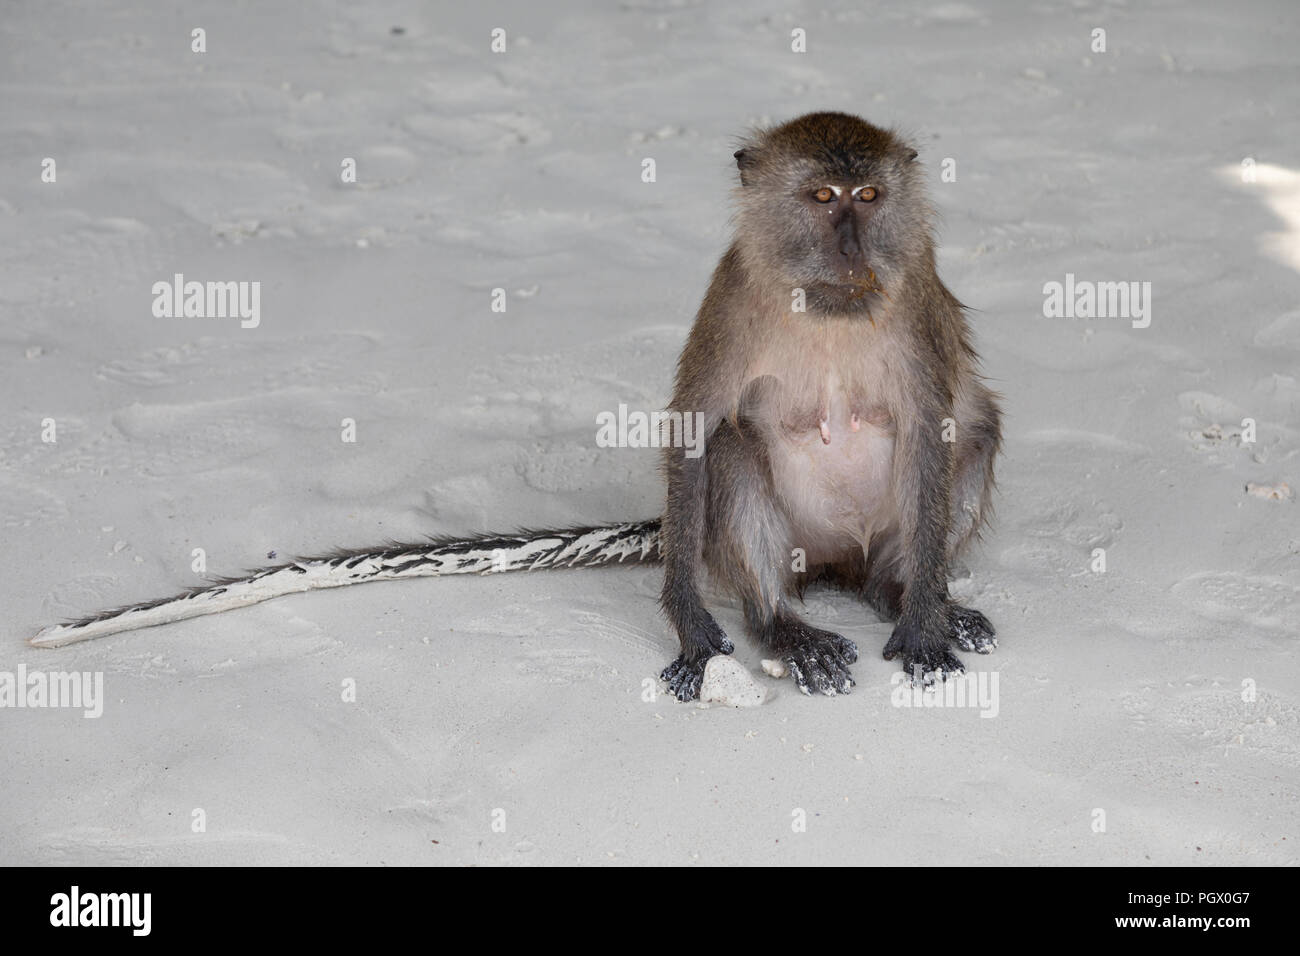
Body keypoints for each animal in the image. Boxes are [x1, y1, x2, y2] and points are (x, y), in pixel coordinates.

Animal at [30, 111, 1000, 706]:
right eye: (822, 198)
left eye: (869, 198)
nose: (851, 247)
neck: (826, 307)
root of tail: (832, 562)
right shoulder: (731, 298)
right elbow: (698, 427)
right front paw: (692, 626)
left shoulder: (913, 299)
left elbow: (936, 425)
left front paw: (922, 618)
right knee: (732, 451)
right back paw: (781, 624)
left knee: (976, 434)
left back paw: (899, 591)